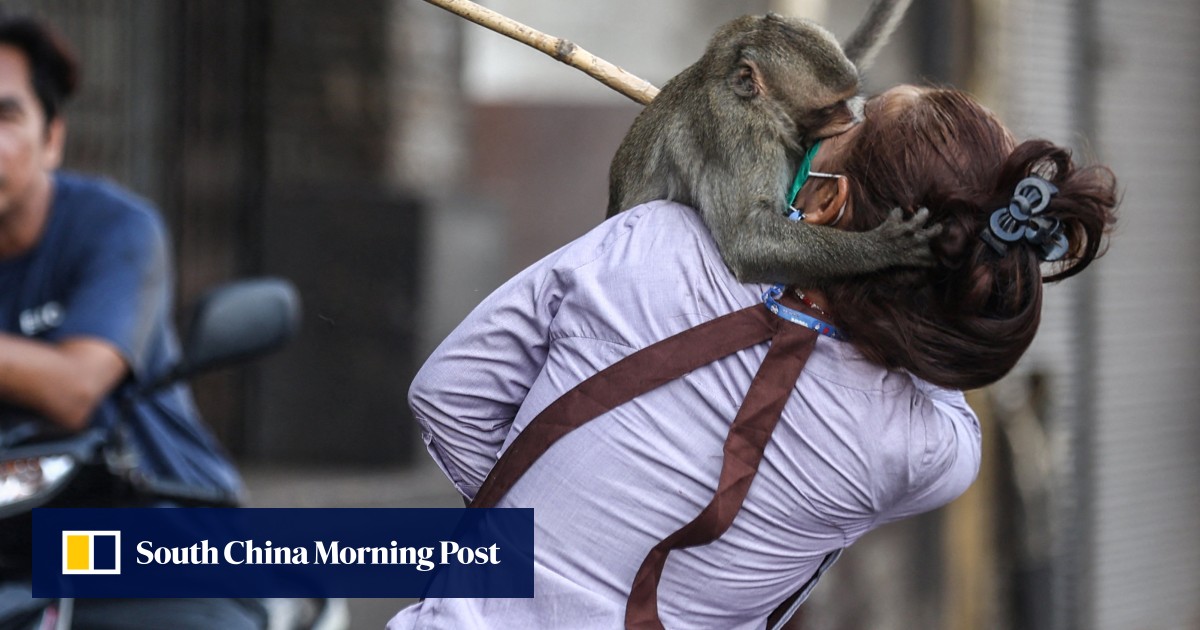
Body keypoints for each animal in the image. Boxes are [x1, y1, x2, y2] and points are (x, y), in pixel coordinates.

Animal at [606, 2, 939, 287]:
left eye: (847, 100)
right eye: (828, 110)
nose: (851, 118)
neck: (759, 108)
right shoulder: (738, 133)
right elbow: (747, 241)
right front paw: (881, 247)